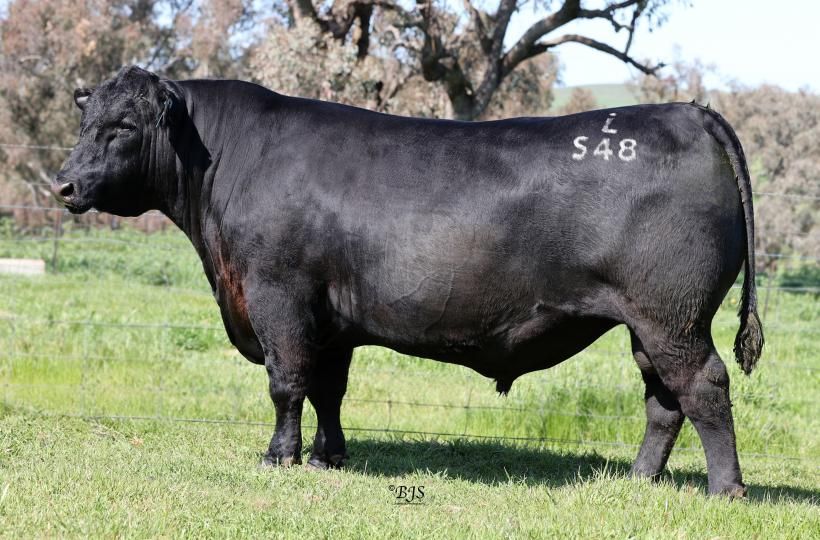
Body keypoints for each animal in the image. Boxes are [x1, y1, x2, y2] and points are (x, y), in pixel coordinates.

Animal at [53, 66, 763, 497]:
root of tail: (690, 112)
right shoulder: (330, 319)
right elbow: (328, 389)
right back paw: (638, 479)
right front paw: (329, 456)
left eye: (122, 127)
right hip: (651, 323)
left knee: (703, 385)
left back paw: (726, 489)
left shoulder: (278, 296)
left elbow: (287, 382)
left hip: (671, 316)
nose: (62, 185)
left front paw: (280, 457)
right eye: (85, 123)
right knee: (663, 399)